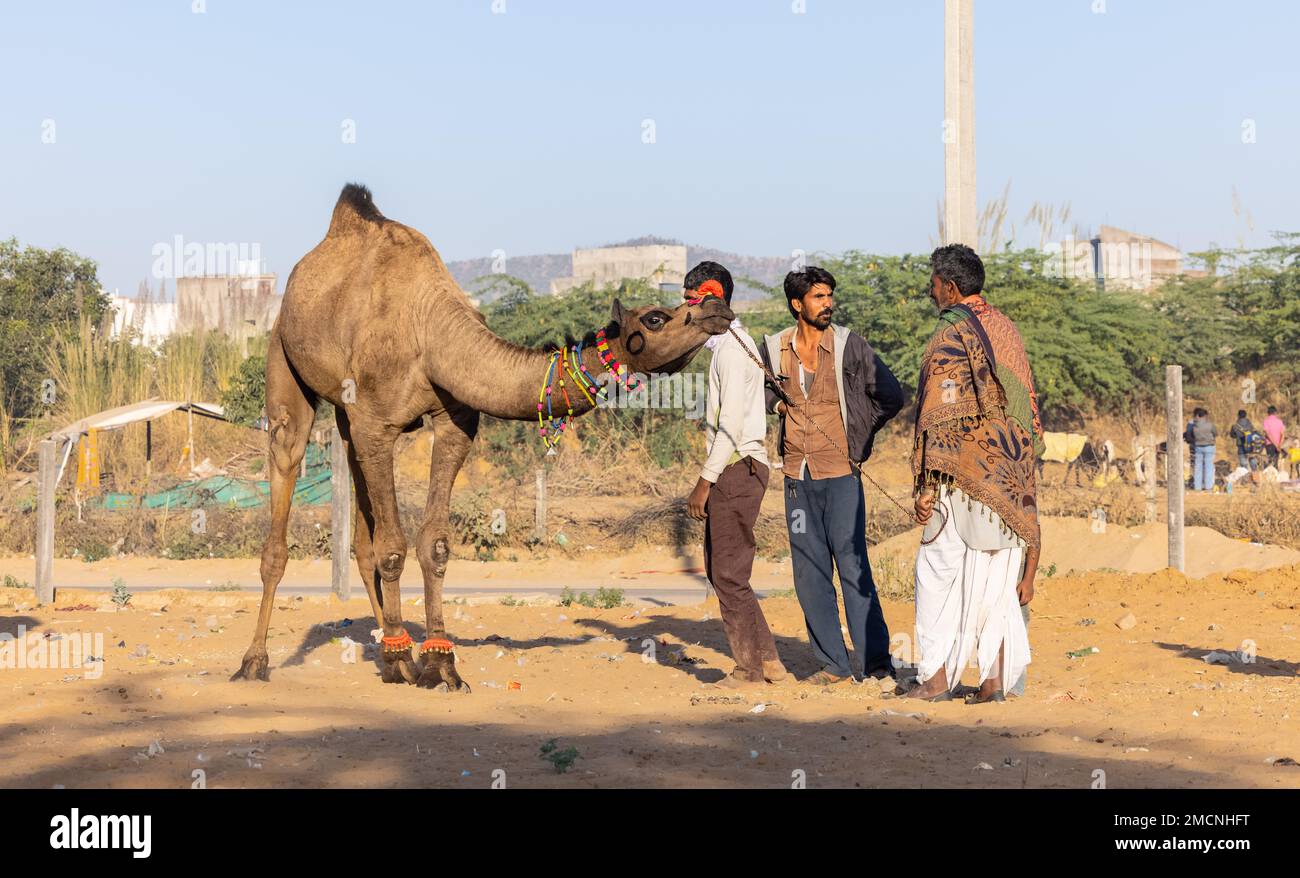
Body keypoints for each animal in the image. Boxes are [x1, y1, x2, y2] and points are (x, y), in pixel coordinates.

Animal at [232, 184, 733, 691]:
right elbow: (393, 547)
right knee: (288, 462)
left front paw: (438, 665)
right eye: (656, 318)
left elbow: (432, 543)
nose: (717, 308)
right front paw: (413, 659)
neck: (432, 332)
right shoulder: (377, 423)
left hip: (345, 414)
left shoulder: (453, 423)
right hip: (284, 358)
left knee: (359, 528)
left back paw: (390, 653)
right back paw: (256, 661)